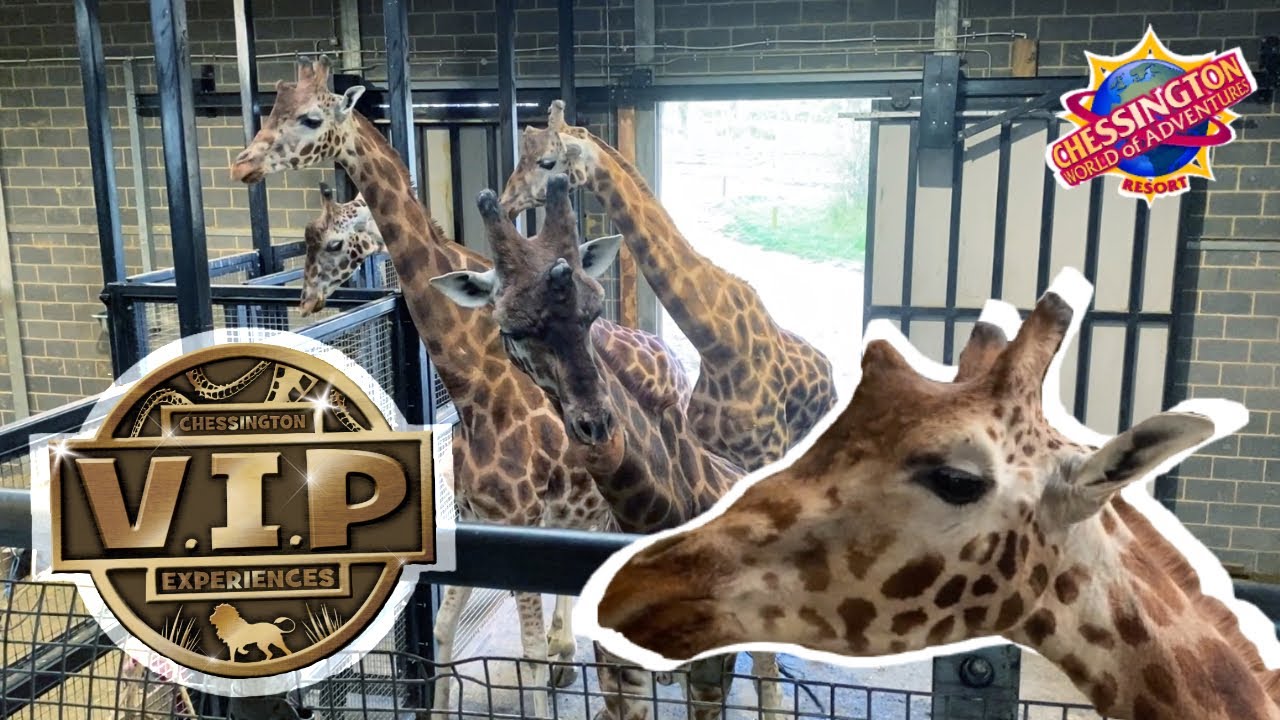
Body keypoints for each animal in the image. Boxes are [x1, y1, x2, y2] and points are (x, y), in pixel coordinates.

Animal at [230, 55, 700, 718]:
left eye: (310, 118)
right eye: (268, 111)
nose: (241, 164)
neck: (476, 388)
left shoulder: (521, 520)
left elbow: (526, 660)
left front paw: (551, 667)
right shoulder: (484, 522)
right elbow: (445, 633)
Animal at [432, 174, 785, 720]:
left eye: (594, 310)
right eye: (510, 329)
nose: (596, 428)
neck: (653, 520)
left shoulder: (710, 673)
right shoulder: (619, 671)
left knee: (770, 678)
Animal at [500, 100, 838, 474]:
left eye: (547, 161)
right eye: (521, 157)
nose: (504, 202)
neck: (718, 347)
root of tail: (827, 366)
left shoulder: (764, 454)